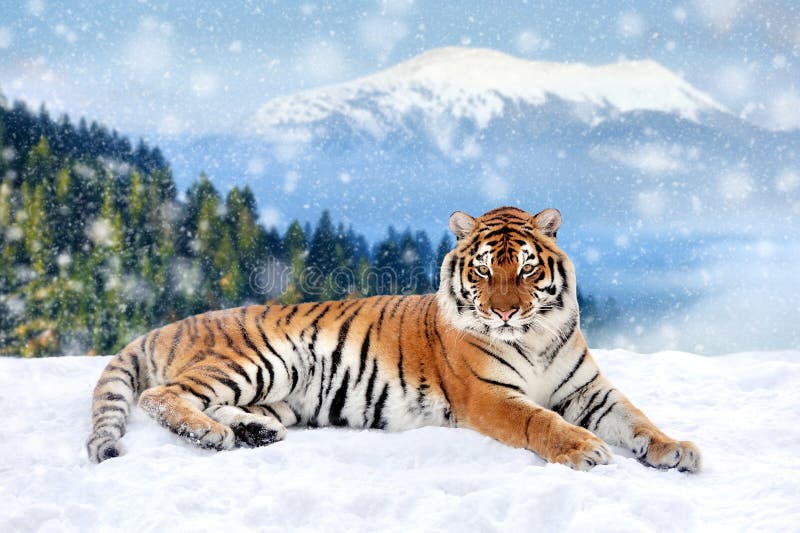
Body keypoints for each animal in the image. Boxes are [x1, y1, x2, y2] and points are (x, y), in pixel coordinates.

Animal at [87, 206, 701, 472]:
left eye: (526, 269)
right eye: (485, 270)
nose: (503, 312)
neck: (536, 336)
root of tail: (173, 323)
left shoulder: (588, 390)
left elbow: (636, 417)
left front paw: (675, 449)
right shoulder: (489, 396)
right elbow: (541, 421)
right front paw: (586, 450)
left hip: (276, 393)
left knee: (218, 406)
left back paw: (251, 434)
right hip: (259, 359)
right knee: (162, 396)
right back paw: (211, 435)